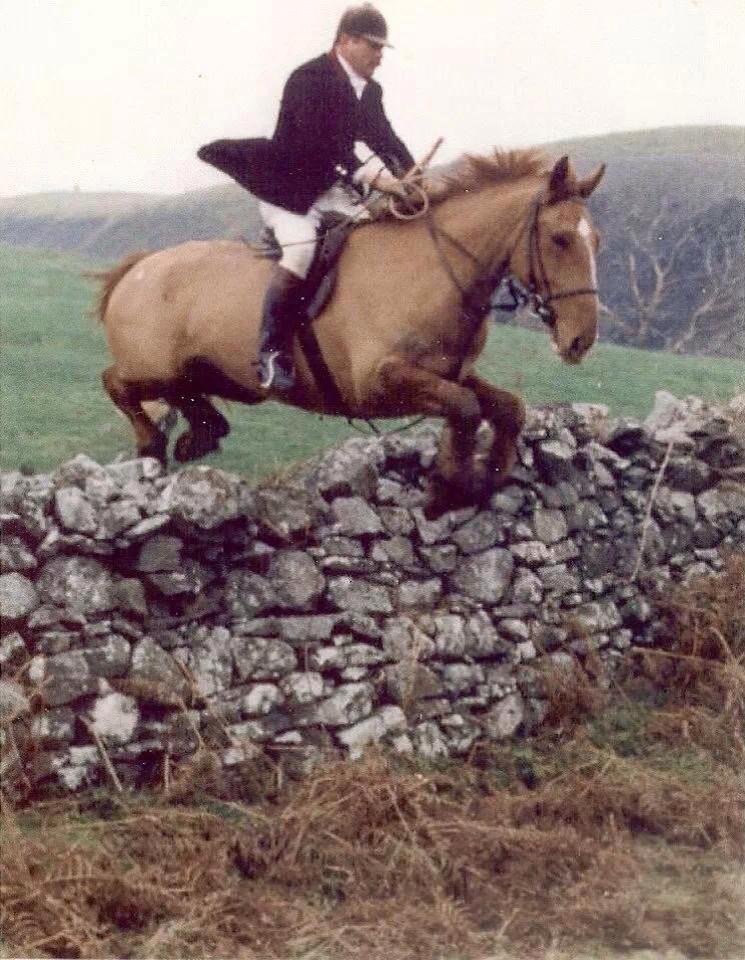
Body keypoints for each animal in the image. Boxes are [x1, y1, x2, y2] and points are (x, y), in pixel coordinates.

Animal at [94, 149, 605, 517]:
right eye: (559, 239)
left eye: (595, 241)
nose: (580, 340)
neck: (436, 273)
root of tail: (137, 267)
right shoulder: (378, 383)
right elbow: (466, 408)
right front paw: (447, 489)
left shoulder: (450, 372)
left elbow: (505, 407)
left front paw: (488, 476)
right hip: (154, 367)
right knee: (117, 382)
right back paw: (156, 441)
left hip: (218, 376)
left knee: (185, 394)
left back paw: (200, 432)